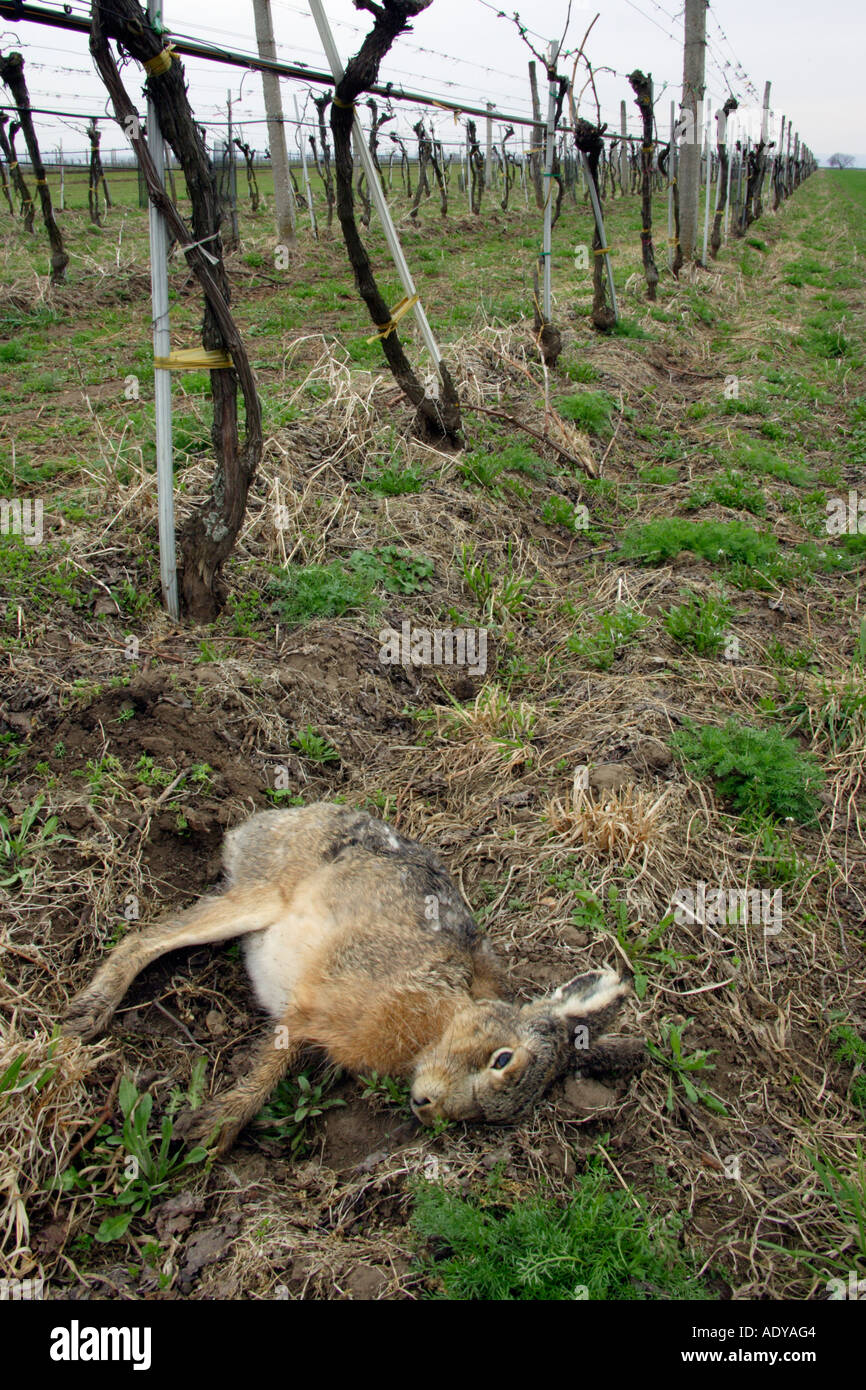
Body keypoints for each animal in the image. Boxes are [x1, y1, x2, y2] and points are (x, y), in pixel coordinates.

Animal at [63, 802, 637, 1156]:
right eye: (502, 1060)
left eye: (489, 1119)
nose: (428, 1109)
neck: (446, 1015)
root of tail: (268, 822)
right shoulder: (310, 1008)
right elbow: (267, 1072)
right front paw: (211, 1131)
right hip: (261, 896)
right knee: (146, 939)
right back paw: (88, 1015)